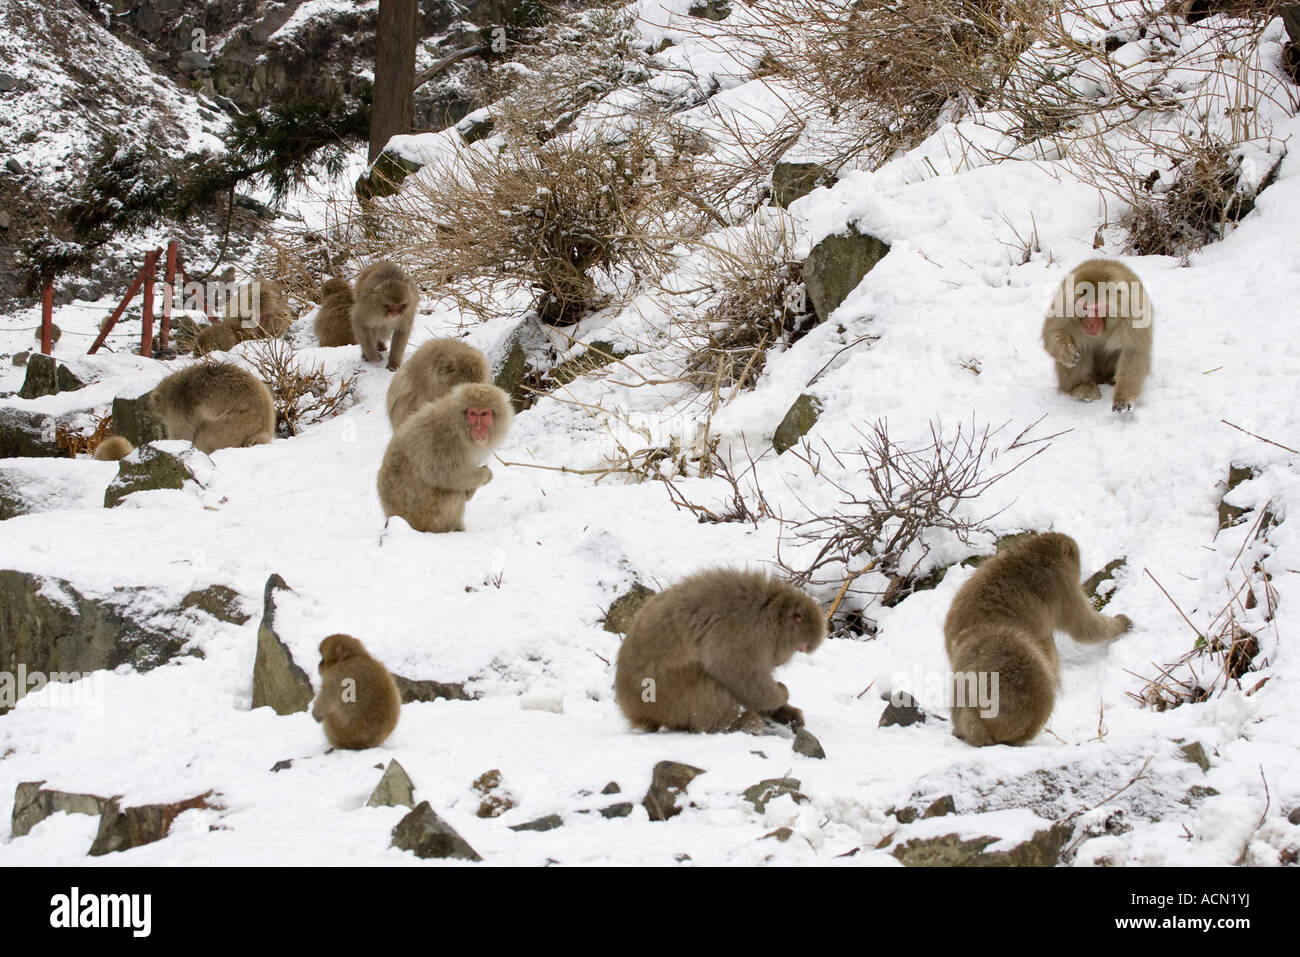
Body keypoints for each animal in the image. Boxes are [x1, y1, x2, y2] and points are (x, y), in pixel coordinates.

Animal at [376, 382, 512, 533]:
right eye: (473, 414)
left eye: (484, 414)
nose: (478, 428)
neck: (461, 427)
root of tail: (393, 515)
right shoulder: (446, 439)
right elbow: (439, 473)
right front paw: (484, 475)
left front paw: (472, 489)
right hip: (426, 516)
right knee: (452, 491)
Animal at [613, 569, 826, 734]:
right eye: (801, 647)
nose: (784, 659)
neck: (770, 612)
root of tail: (632, 711)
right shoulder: (746, 630)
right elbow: (733, 669)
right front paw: (780, 696)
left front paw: (783, 710)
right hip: (664, 696)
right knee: (708, 679)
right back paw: (734, 725)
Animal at [1042, 258, 1153, 414]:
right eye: (1084, 308)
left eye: (1096, 309)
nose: (1089, 324)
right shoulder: (1066, 303)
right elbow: (1052, 333)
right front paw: (1067, 351)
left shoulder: (1136, 311)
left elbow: (1133, 352)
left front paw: (1123, 397)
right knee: (1082, 344)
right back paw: (1080, 387)